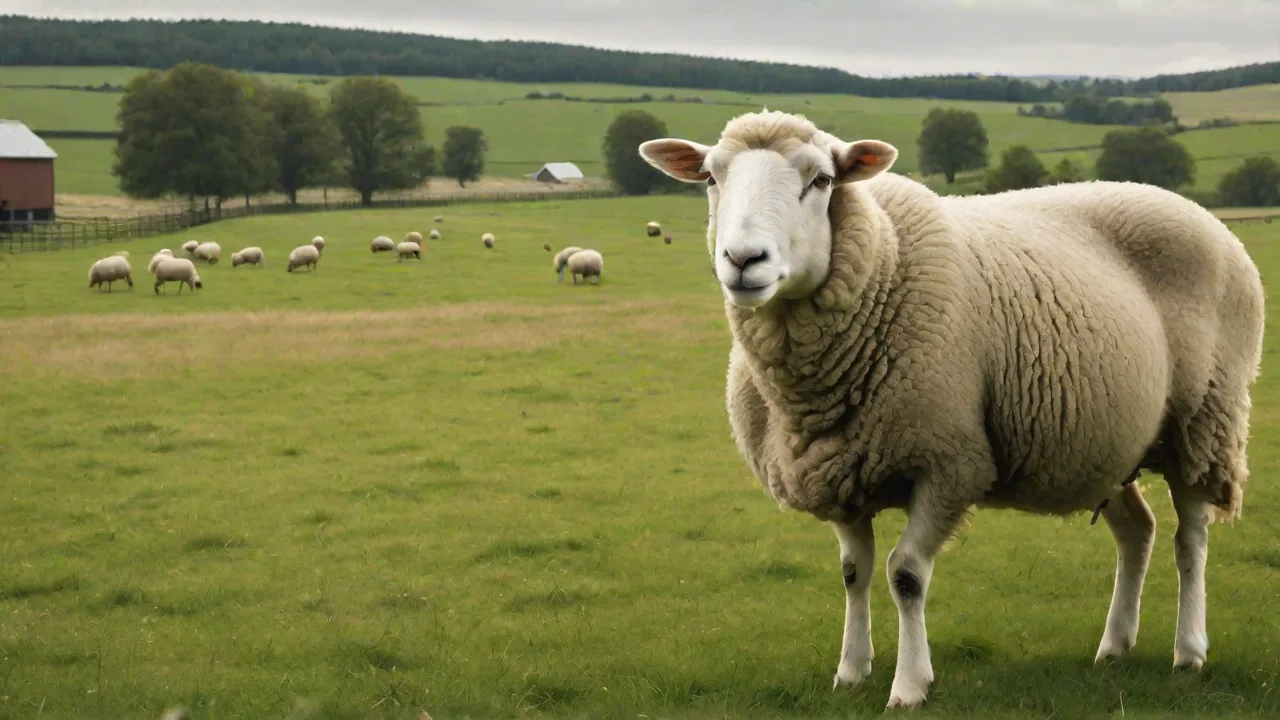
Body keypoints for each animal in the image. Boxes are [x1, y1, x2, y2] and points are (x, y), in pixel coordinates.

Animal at [638, 110, 1265, 709]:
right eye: (711, 177)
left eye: (821, 180)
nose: (744, 259)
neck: (882, 264)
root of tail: (1195, 210)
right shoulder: (837, 467)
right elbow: (854, 574)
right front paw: (850, 672)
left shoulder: (950, 462)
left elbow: (906, 575)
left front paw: (909, 686)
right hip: (1110, 447)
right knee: (1139, 531)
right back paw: (1114, 647)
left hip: (1204, 421)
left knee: (1191, 540)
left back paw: (1189, 651)